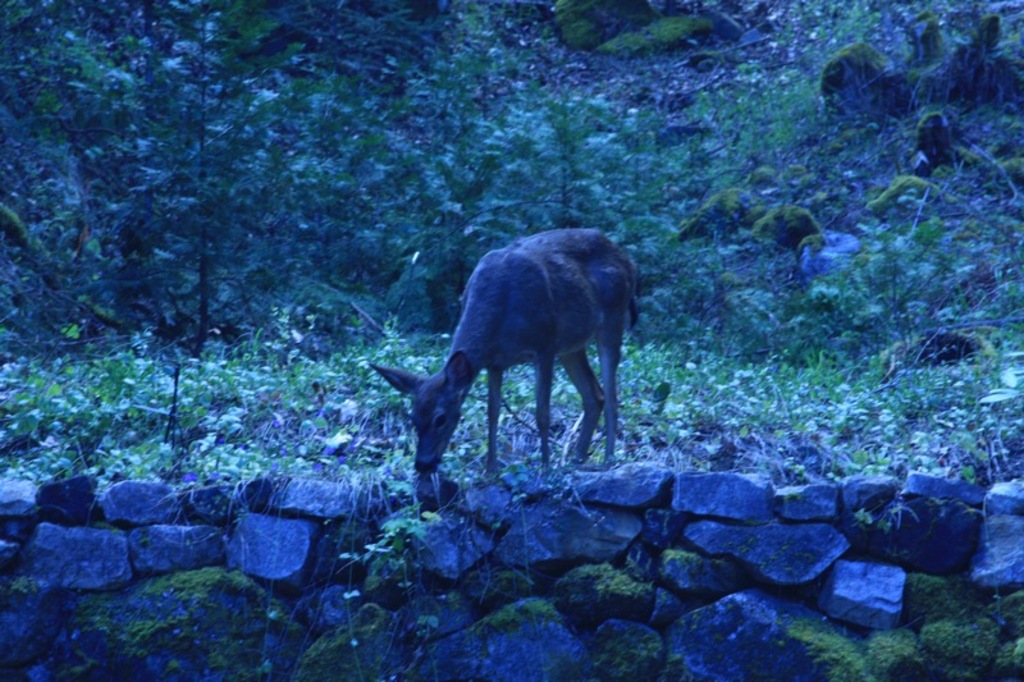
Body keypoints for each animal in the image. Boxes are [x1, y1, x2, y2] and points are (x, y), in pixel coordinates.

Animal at [371, 228, 638, 475]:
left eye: (441, 418)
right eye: (414, 419)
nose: (423, 464)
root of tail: (625, 258)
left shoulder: (545, 345)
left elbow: (542, 413)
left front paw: (545, 467)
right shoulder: (494, 362)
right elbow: (493, 413)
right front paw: (490, 469)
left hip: (612, 321)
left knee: (612, 397)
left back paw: (608, 459)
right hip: (572, 346)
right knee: (595, 395)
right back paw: (576, 459)